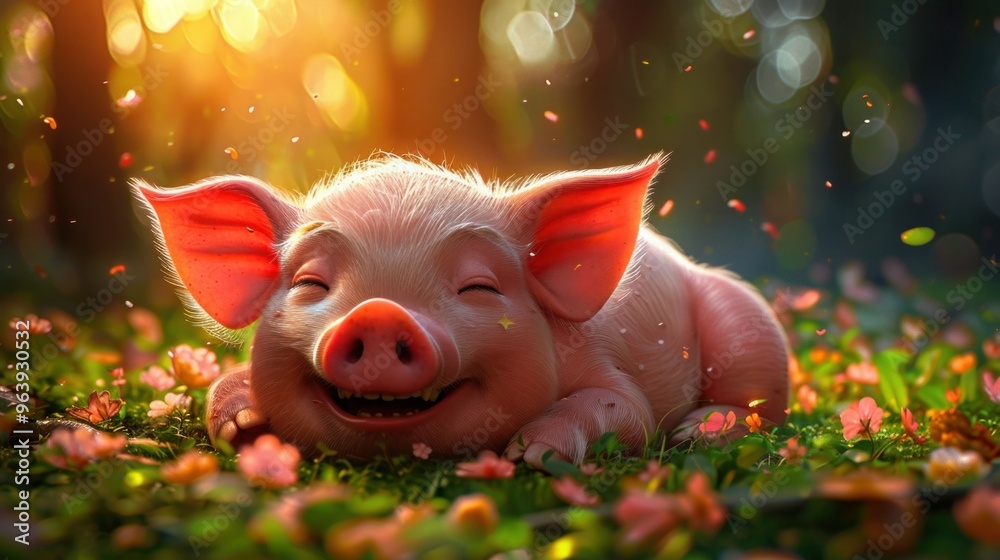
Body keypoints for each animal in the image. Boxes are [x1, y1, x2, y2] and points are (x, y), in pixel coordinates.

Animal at [132, 154, 788, 467]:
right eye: (311, 284)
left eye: (477, 288)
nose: (378, 313)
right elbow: (224, 385)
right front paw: (242, 428)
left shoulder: (614, 379)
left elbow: (625, 411)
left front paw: (535, 455)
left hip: (748, 323)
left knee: (760, 404)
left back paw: (696, 432)